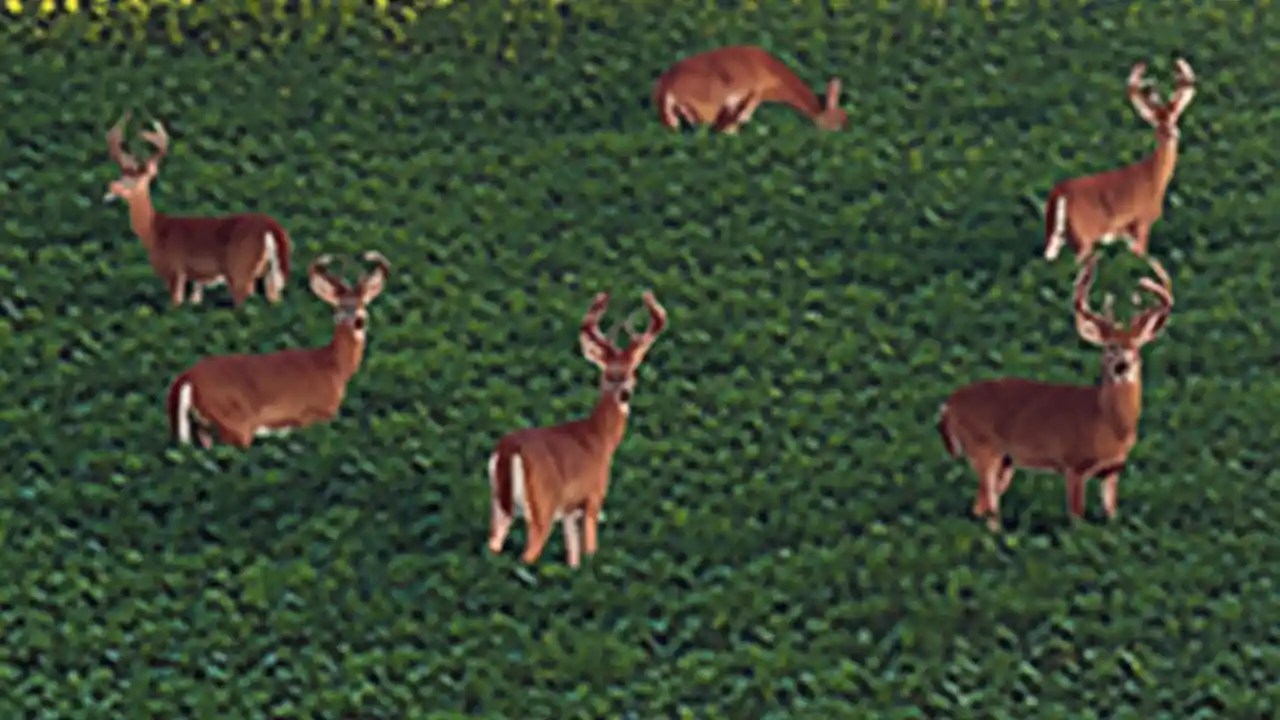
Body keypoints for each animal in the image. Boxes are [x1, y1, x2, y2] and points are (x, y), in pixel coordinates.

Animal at [104, 112, 293, 308]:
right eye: (123, 175)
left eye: (138, 179)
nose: (112, 188)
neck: (154, 230)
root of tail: (272, 228)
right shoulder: (197, 282)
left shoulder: (174, 270)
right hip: (272, 275)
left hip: (240, 269)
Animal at [166, 252, 389, 448]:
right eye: (338, 310)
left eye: (362, 305)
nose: (357, 321)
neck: (333, 367)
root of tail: (187, 379)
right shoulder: (315, 413)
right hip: (234, 418)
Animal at [487, 290, 668, 568]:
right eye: (608, 374)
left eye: (631, 373)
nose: (624, 394)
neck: (600, 437)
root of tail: (509, 448)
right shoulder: (593, 496)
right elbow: (590, 549)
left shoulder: (569, 511)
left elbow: (573, 557)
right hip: (542, 503)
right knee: (528, 553)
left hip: (499, 504)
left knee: (493, 544)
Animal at [938, 251, 1174, 531]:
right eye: (1109, 348)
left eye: (1136, 350)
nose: (1122, 366)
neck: (1107, 422)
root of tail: (948, 405)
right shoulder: (1074, 464)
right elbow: (1077, 519)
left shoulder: (1113, 470)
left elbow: (1112, 514)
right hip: (982, 446)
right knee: (989, 508)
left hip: (1005, 460)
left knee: (980, 506)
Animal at [1043, 58, 1197, 262]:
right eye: (1156, 124)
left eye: (1174, 119)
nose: (1171, 133)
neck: (1153, 176)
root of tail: (1060, 192)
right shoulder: (1141, 221)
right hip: (1086, 232)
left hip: (1064, 237)